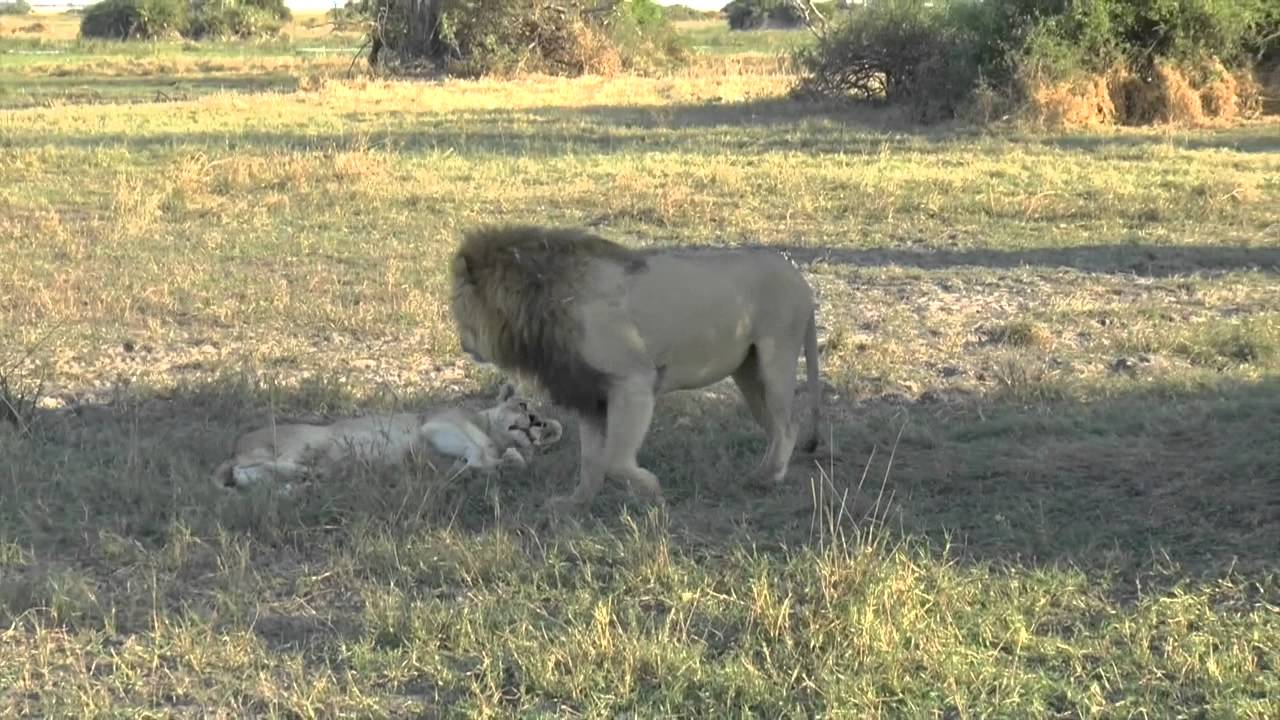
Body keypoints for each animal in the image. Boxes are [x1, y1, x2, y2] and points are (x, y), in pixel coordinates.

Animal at [210, 383, 563, 492]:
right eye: (523, 404)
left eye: (545, 424)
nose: (535, 421)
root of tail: (235, 447)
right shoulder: (438, 425)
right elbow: (479, 449)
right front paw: (482, 465)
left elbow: (511, 459)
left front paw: (507, 462)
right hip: (309, 439)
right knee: (250, 469)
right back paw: (308, 474)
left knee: (247, 476)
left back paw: (306, 481)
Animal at [449, 224, 822, 513]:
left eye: (456, 307)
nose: (463, 344)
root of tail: (799, 277)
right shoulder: (588, 395)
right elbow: (590, 461)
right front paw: (576, 503)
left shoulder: (634, 383)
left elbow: (614, 461)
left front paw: (651, 489)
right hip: (748, 373)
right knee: (774, 427)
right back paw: (760, 474)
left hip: (776, 360)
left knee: (788, 425)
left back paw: (770, 478)